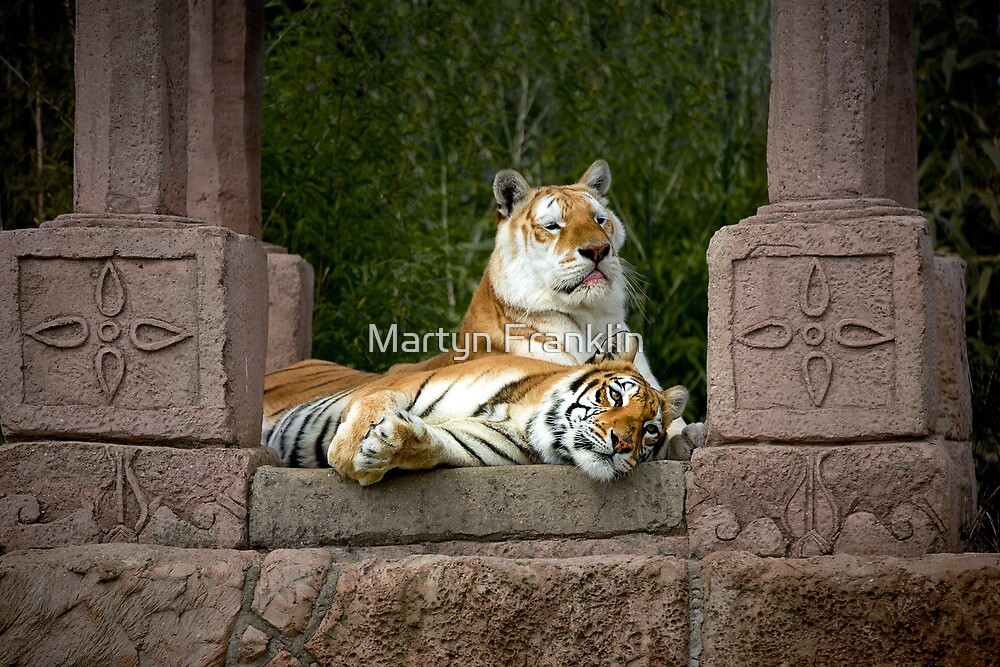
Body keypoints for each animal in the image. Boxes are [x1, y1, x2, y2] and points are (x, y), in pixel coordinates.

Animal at [263, 342, 689, 486]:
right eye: (616, 396)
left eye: (650, 430)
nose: (622, 446)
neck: (524, 419)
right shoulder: (400, 382)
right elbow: (376, 400)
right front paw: (348, 452)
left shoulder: (475, 442)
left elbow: (434, 444)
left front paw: (389, 445)